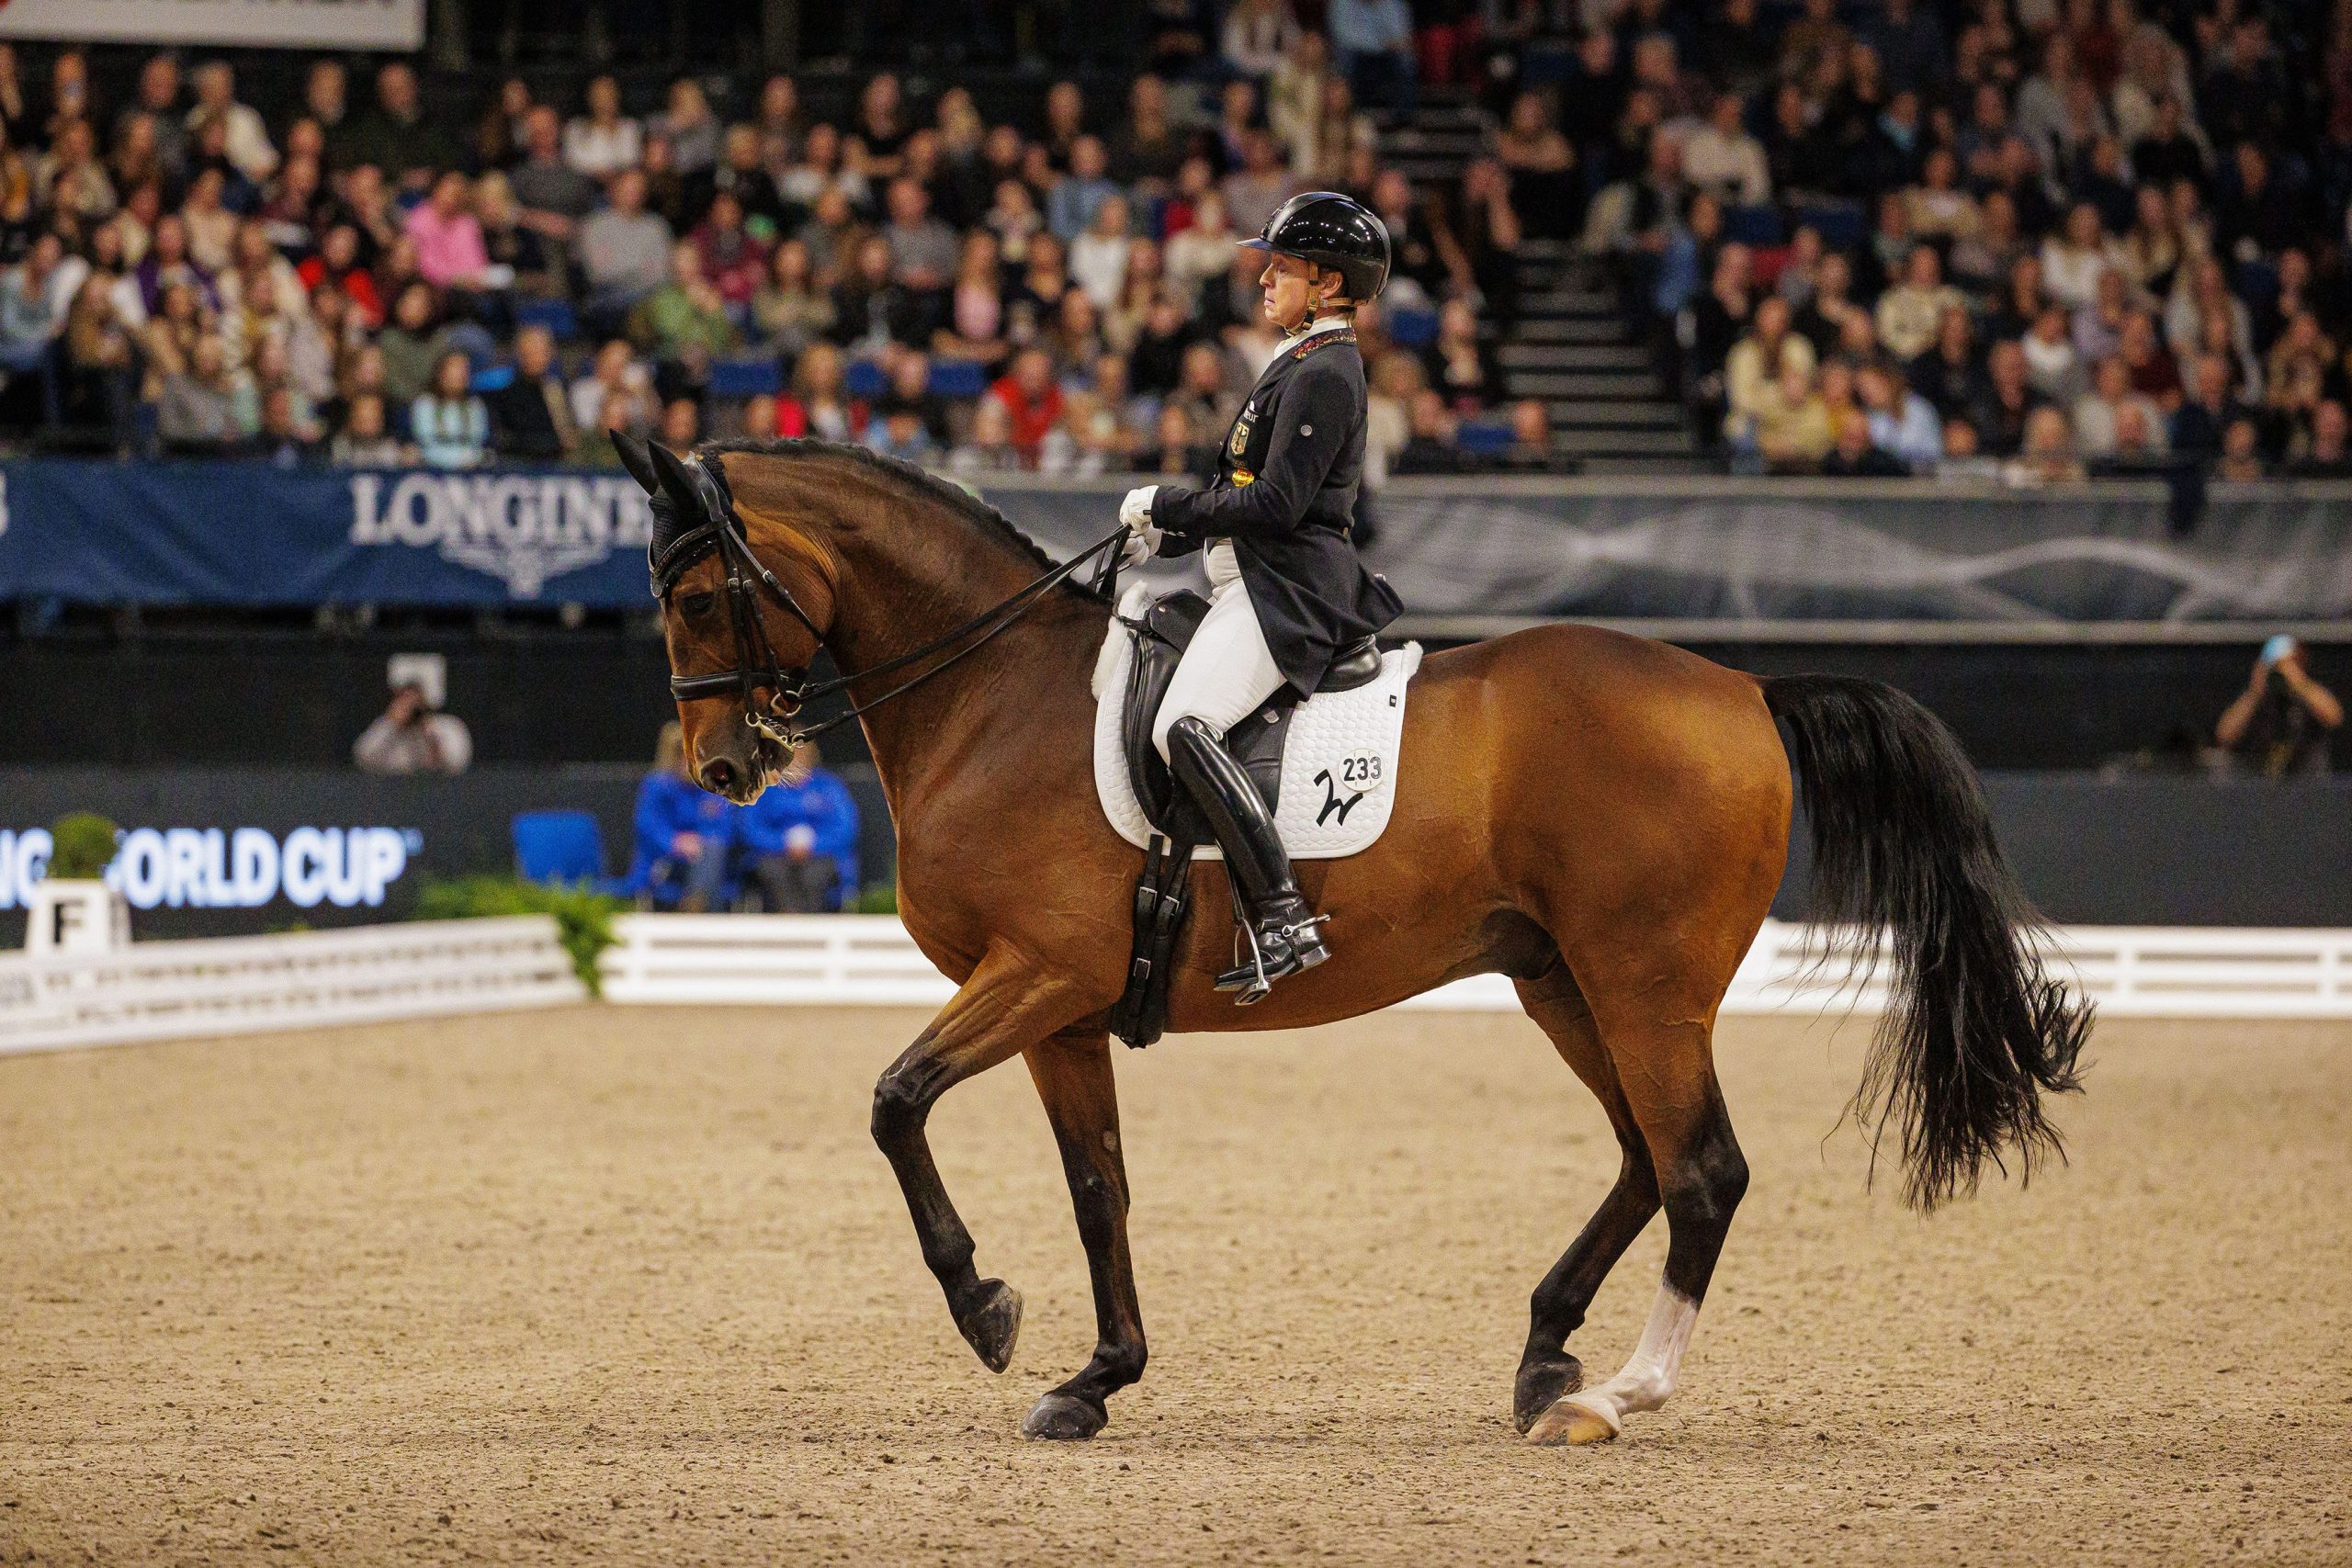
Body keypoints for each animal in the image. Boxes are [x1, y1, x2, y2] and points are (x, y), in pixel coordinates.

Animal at [616, 434, 2088, 1446]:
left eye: (692, 600)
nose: (726, 765)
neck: (994, 692)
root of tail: (1740, 684)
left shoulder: (1034, 974)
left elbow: (894, 1100)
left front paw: (985, 1309)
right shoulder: (1066, 1012)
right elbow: (1100, 1189)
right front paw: (1096, 1379)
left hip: (1645, 984)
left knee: (1703, 1170)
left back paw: (1617, 1392)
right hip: (1562, 981)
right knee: (1643, 1158)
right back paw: (1545, 1352)